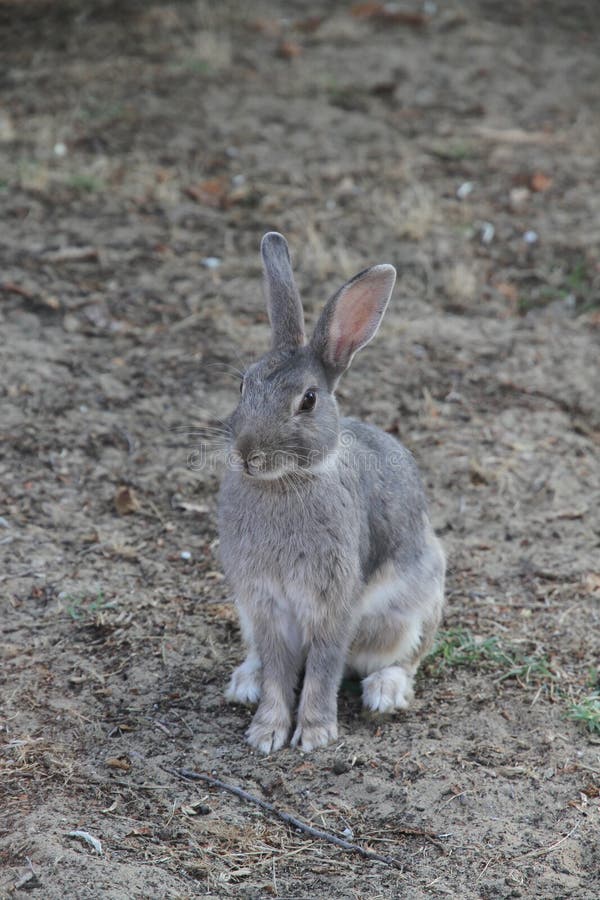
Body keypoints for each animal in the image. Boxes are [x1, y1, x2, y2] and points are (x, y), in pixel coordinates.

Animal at [218, 232, 446, 753]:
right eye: (243, 385)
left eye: (308, 400)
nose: (248, 454)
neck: (285, 483)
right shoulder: (264, 604)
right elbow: (280, 671)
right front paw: (266, 732)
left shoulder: (333, 602)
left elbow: (323, 668)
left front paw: (316, 734)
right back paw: (244, 683)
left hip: (414, 604)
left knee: (408, 655)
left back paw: (385, 691)